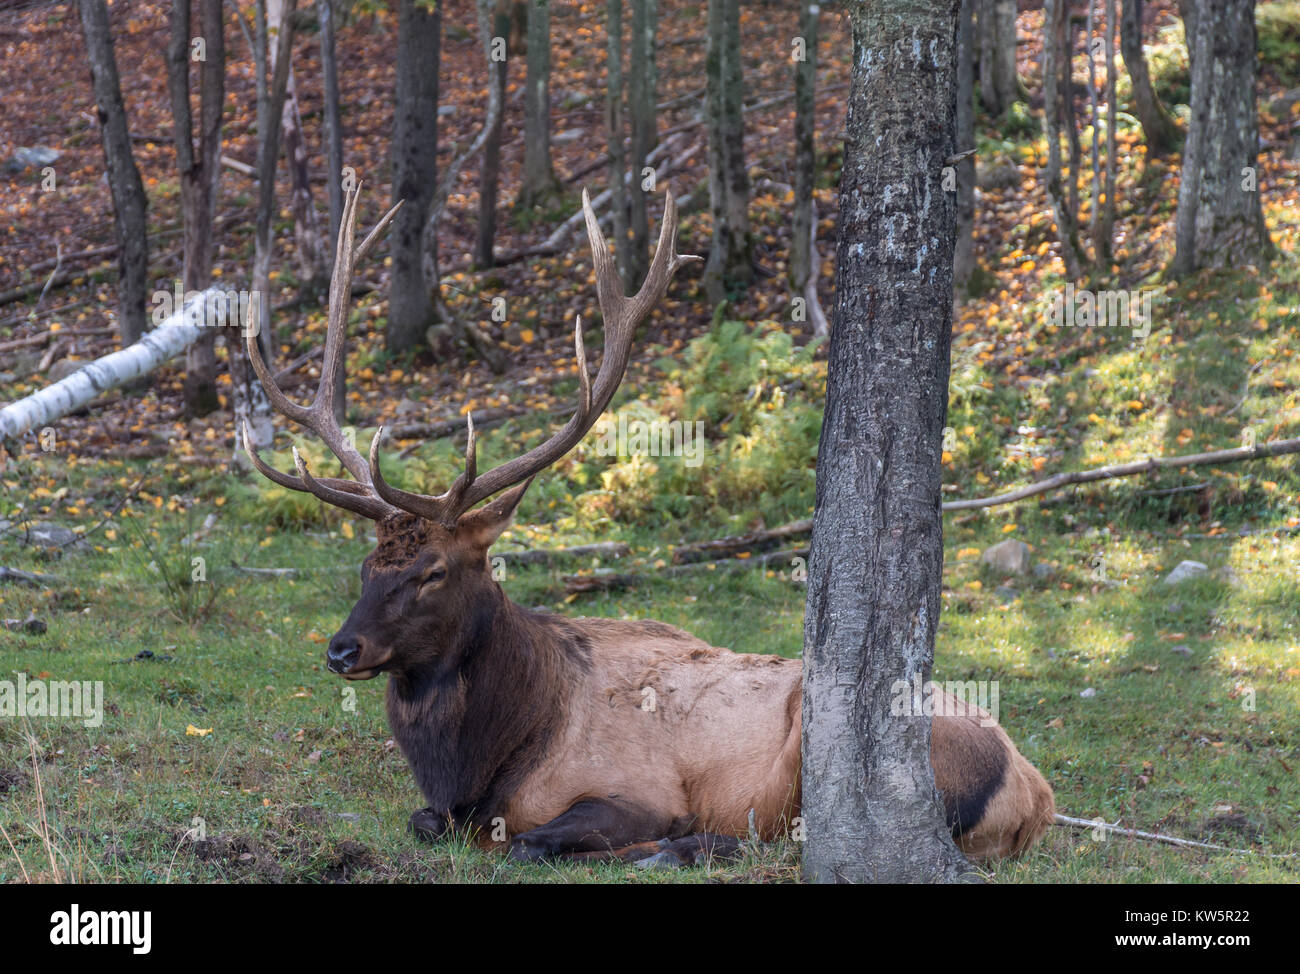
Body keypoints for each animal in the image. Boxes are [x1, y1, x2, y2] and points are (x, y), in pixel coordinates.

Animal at [242, 183, 1056, 868]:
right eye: (367, 565)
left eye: (432, 570)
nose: (342, 649)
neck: (496, 751)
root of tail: (1038, 795)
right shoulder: (444, 805)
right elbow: (424, 821)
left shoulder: (635, 790)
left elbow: (526, 841)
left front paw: (637, 845)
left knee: (774, 839)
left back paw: (681, 849)